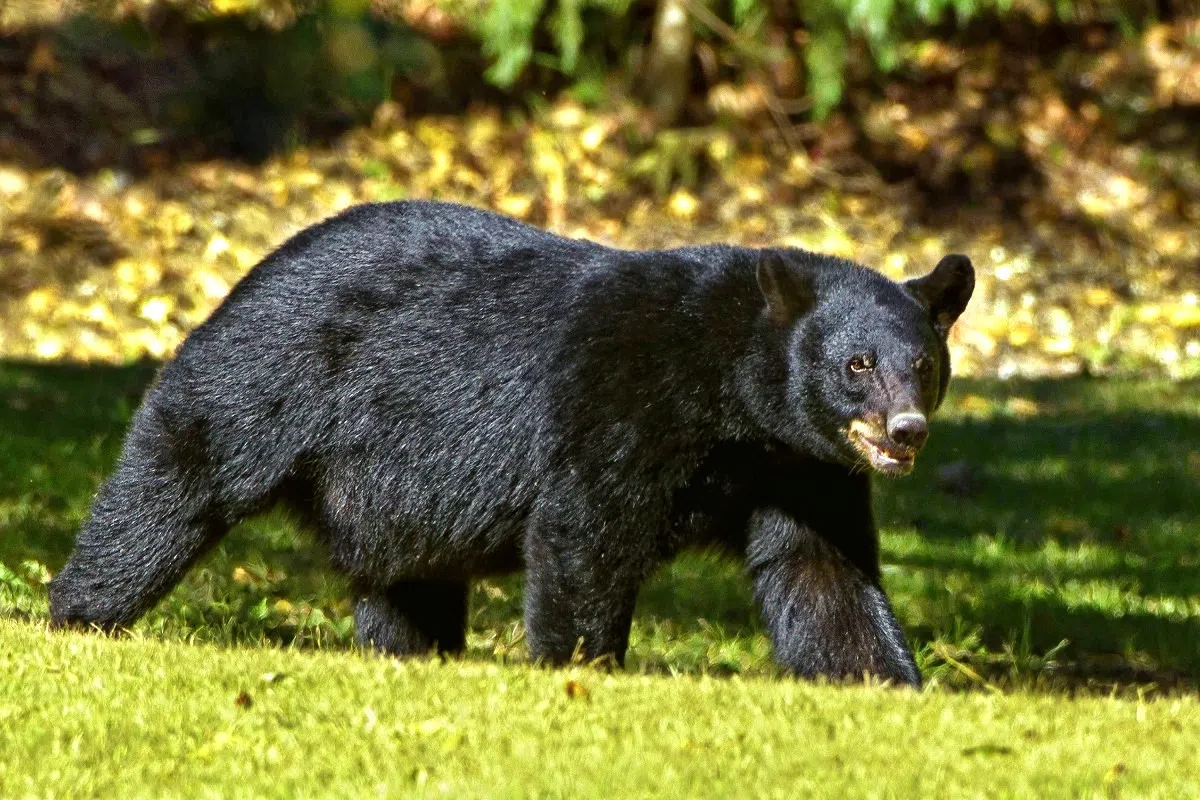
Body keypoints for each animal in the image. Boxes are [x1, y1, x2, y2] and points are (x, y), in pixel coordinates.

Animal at [49, 200, 974, 686]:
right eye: (856, 364)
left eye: (923, 364)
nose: (905, 430)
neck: (730, 396)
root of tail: (252, 268)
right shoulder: (621, 399)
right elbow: (586, 533)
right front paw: (582, 670)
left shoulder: (799, 465)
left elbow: (822, 571)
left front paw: (885, 681)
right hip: (266, 376)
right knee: (175, 482)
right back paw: (79, 614)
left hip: (390, 492)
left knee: (405, 581)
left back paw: (412, 654)